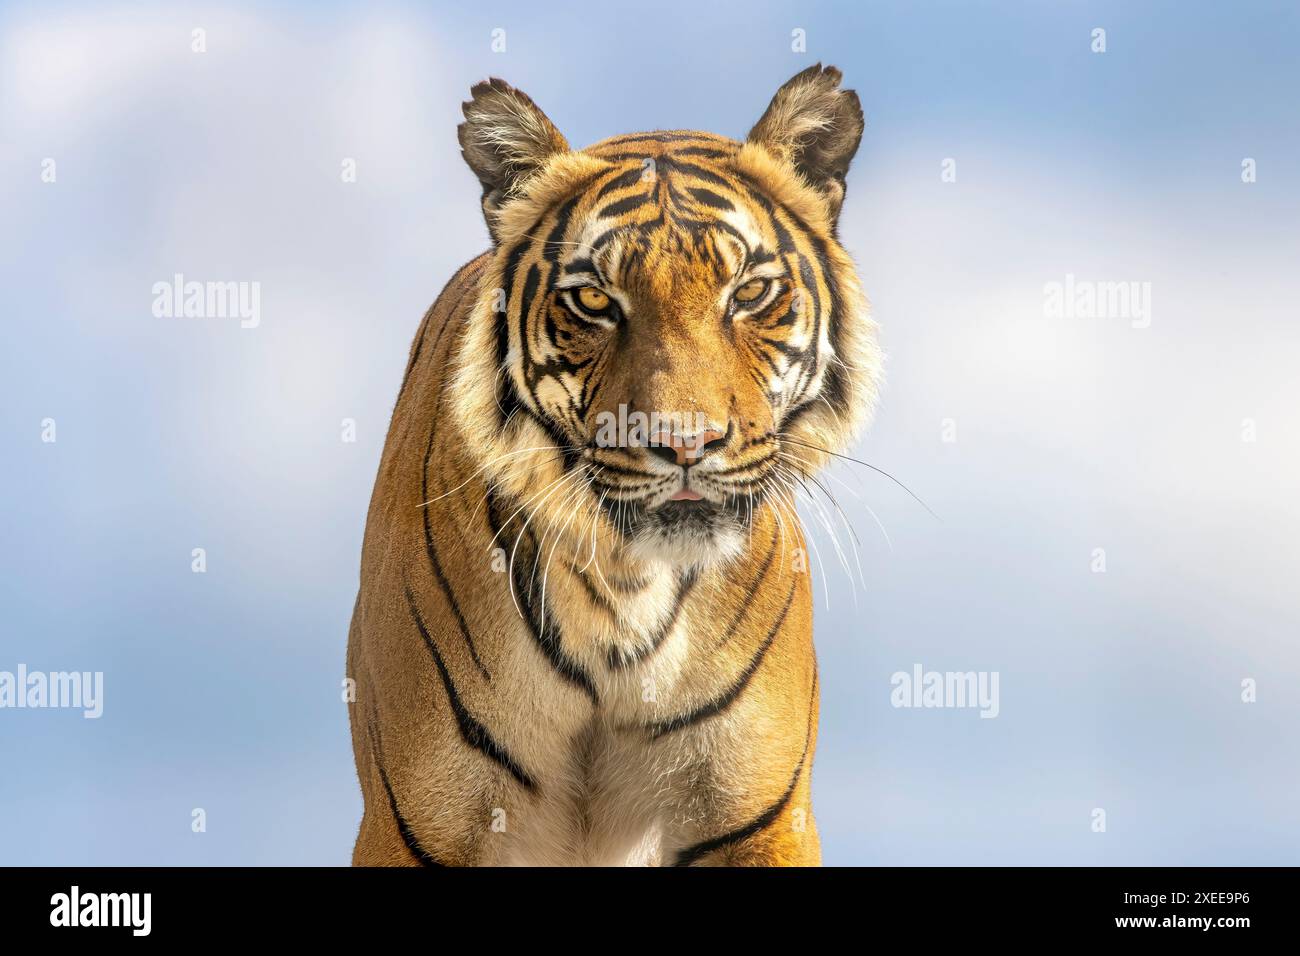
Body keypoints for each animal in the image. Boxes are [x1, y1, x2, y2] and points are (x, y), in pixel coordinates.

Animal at [346, 64, 881, 866]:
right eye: (595, 300)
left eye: (749, 293)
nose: (686, 442)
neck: (621, 592)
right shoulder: (417, 823)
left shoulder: (759, 815)